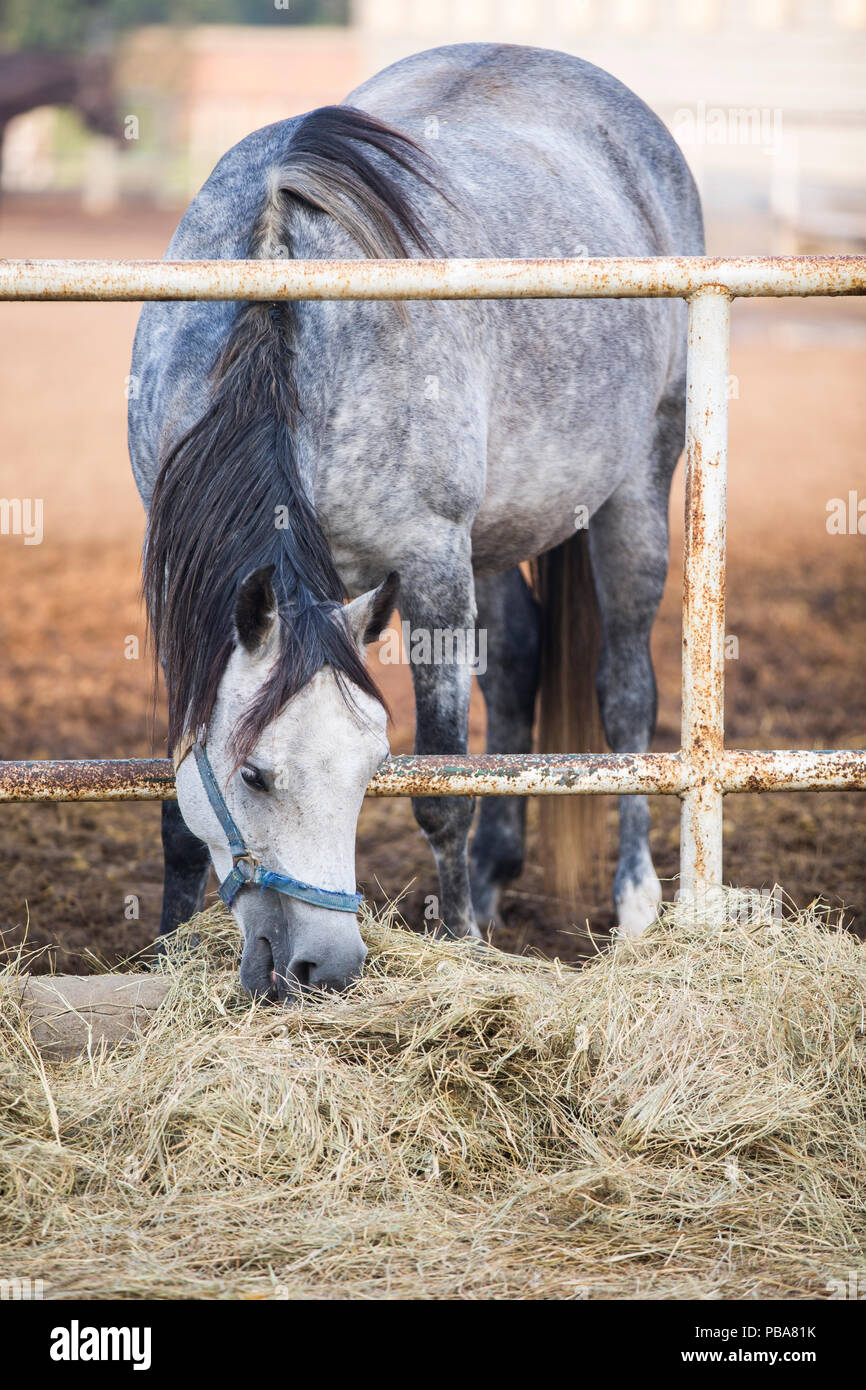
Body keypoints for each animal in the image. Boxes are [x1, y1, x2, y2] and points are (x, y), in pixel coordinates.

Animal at [128, 42, 704, 1001]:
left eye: (370, 768)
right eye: (255, 774)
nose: (323, 964)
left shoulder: (432, 569)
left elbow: (442, 790)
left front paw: (461, 947)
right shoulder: (182, 575)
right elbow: (178, 802)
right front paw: (166, 954)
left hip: (634, 499)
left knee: (626, 693)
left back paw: (635, 904)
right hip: (501, 535)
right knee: (517, 667)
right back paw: (498, 874)